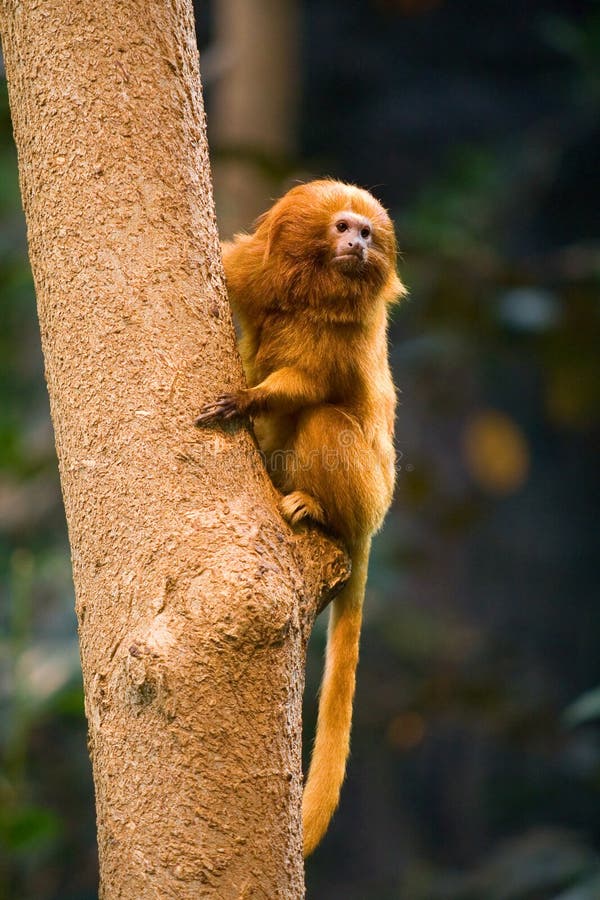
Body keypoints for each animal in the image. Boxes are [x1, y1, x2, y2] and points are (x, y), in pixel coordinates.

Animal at [196, 179, 405, 856]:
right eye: (343, 227)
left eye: (366, 232)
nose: (358, 245)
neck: (309, 292)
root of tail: (370, 526)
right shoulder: (250, 270)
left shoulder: (344, 337)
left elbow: (307, 386)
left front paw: (250, 398)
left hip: (367, 493)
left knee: (323, 422)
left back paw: (314, 507)